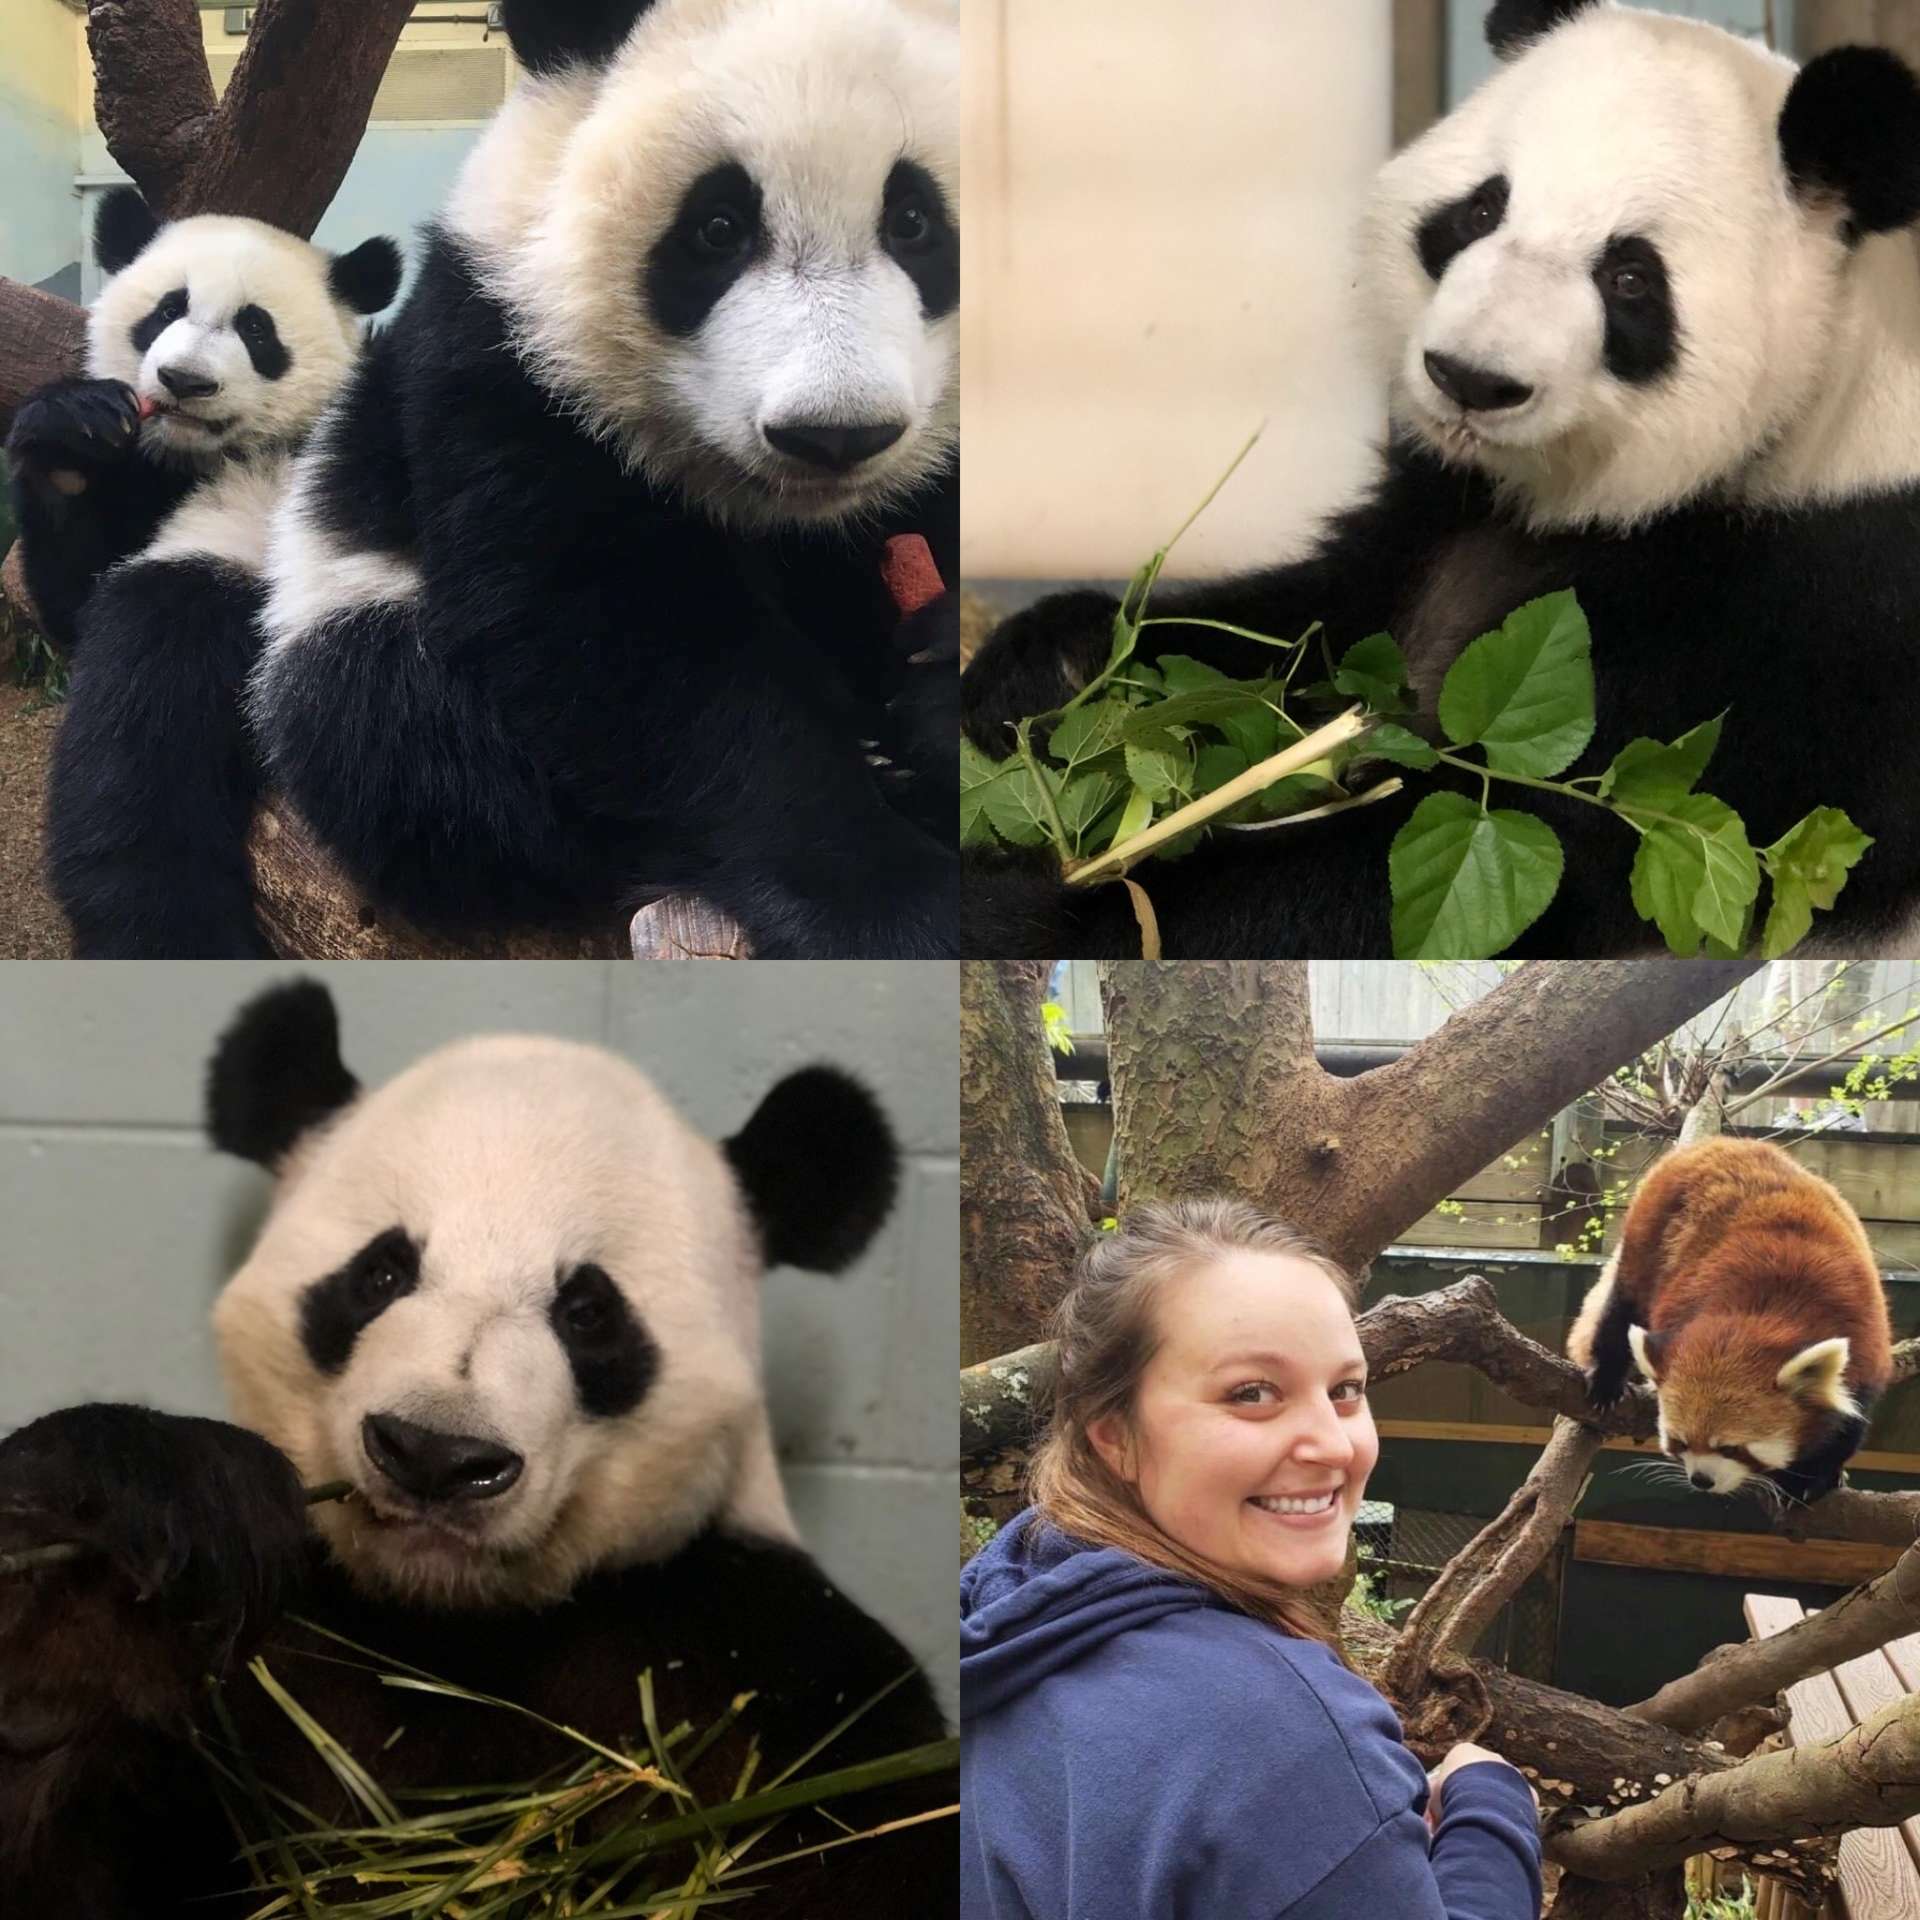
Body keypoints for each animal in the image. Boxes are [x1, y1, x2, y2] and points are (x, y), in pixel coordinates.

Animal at [0, 980, 953, 1918]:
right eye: (381, 1273)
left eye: (588, 1312)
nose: (435, 1454)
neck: (447, 1628)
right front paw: (130, 1539)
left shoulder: (769, 1664)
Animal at [7, 189, 401, 957]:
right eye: (165, 310)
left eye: (256, 329)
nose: (184, 382)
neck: (209, 459)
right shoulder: (143, 483)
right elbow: (73, 601)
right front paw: (72, 435)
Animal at [247, 0, 960, 960]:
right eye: (718, 228)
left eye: (914, 222)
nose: (835, 434)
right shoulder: (513, 363)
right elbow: (631, 644)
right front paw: (887, 902)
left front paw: (942, 680)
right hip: (339, 609)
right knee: (401, 731)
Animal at [961, 0, 1920, 959]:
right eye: (1481, 209)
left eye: (1630, 277)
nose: (1470, 379)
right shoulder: (1439, 508)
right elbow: (1307, 631)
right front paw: (1052, 668)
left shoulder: (1801, 622)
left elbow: (1544, 853)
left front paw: (1046, 902)